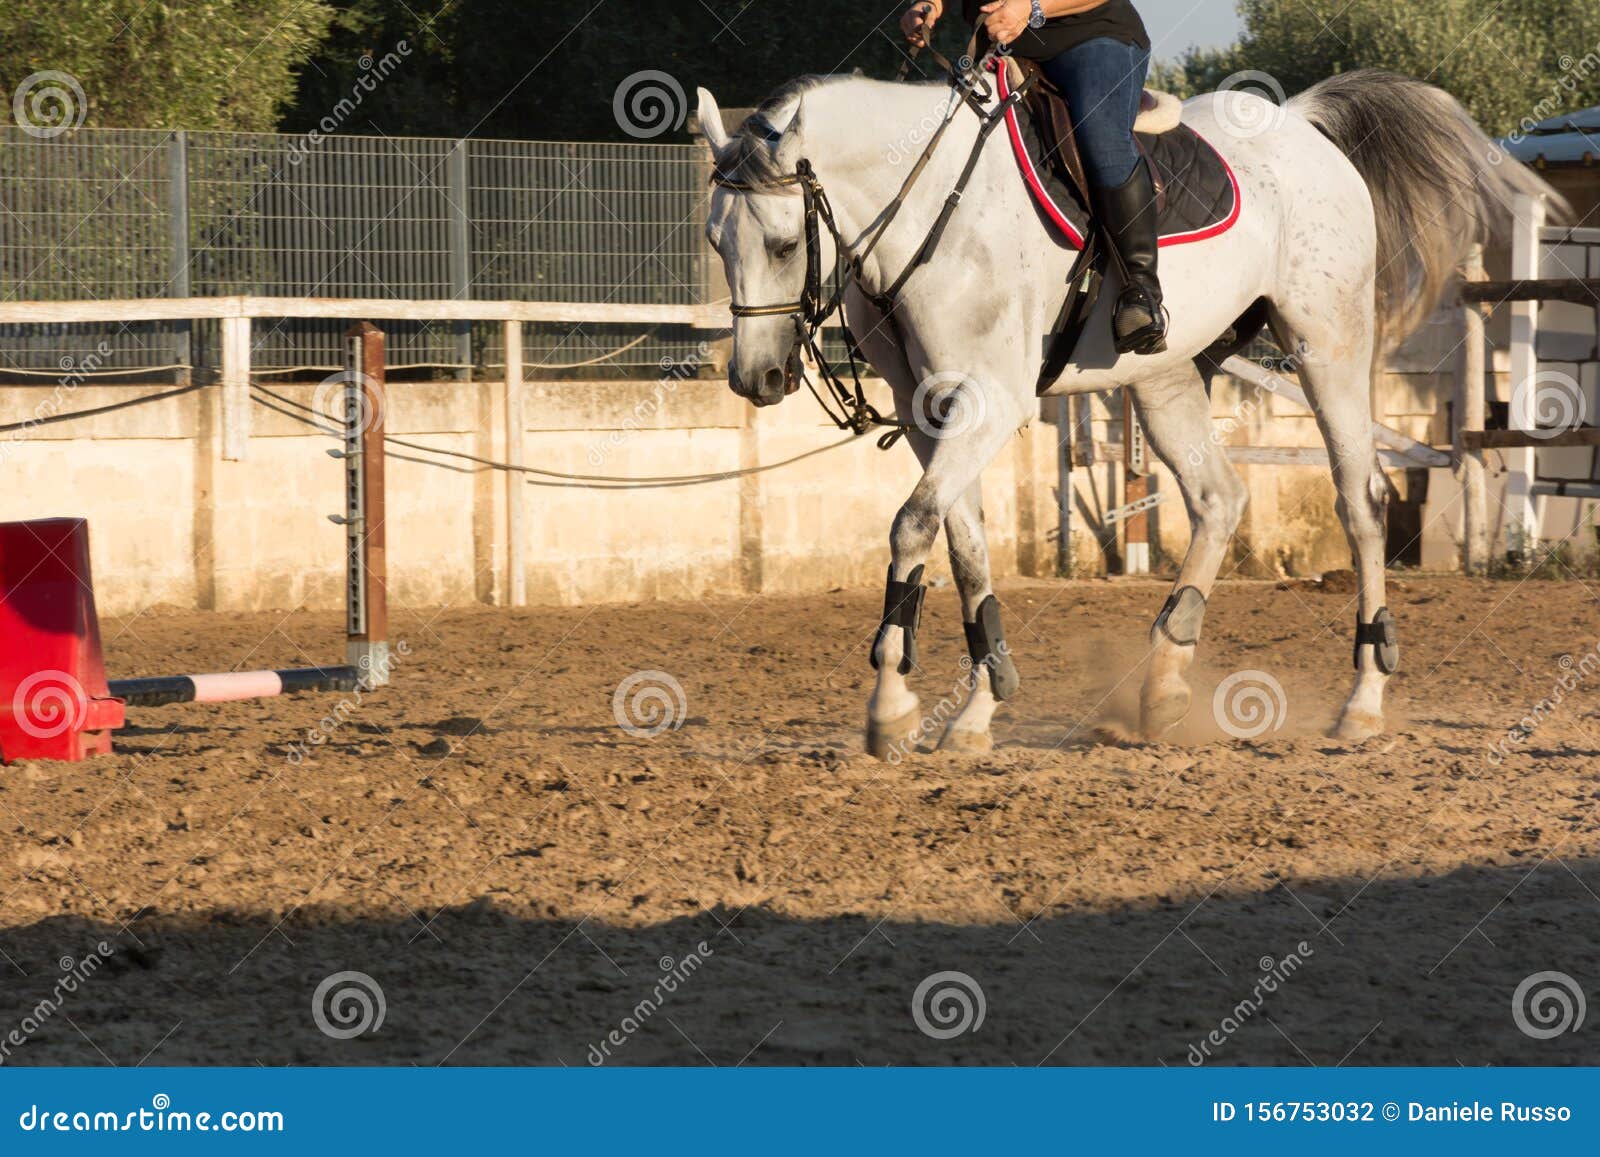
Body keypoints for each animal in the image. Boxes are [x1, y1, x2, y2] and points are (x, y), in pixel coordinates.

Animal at [696, 65, 1561, 759]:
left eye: (782, 244)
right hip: (1167, 375)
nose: (757, 376)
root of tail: (1303, 122)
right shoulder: (929, 410)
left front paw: (891, 704)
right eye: (716, 241)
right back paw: (1166, 680)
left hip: (1328, 347)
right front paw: (975, 708)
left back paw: (1362, 700)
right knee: (1220, 498)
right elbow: (962, 544)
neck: (934, 213)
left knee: (1361, 501)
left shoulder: (989, 400)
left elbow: (912, 526)